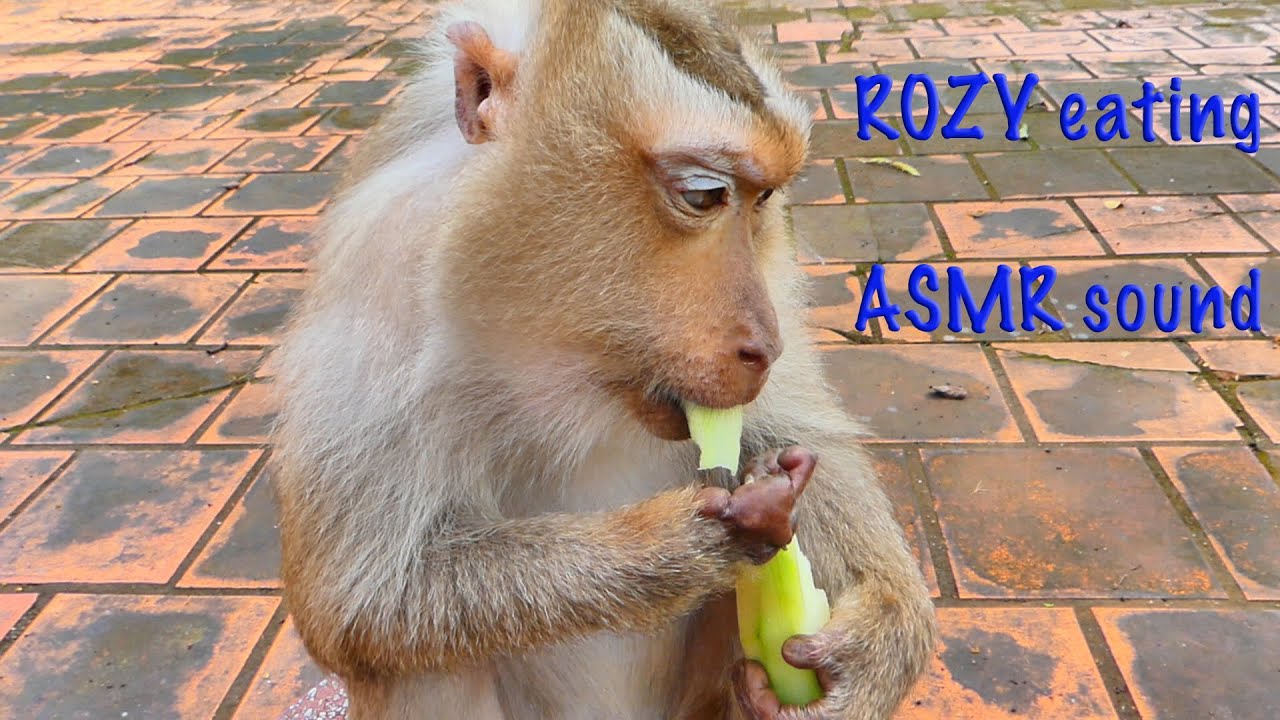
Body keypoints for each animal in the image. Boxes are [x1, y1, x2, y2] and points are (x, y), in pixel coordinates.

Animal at [268, 0, 938, 718]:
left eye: (762, 200)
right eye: (703, 195)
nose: (767, 346)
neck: (565, 353)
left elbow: (801, 435)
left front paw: (880, 640)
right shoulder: (381, 275)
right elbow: (360, 598)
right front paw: (678, 542)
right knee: (418, 662)